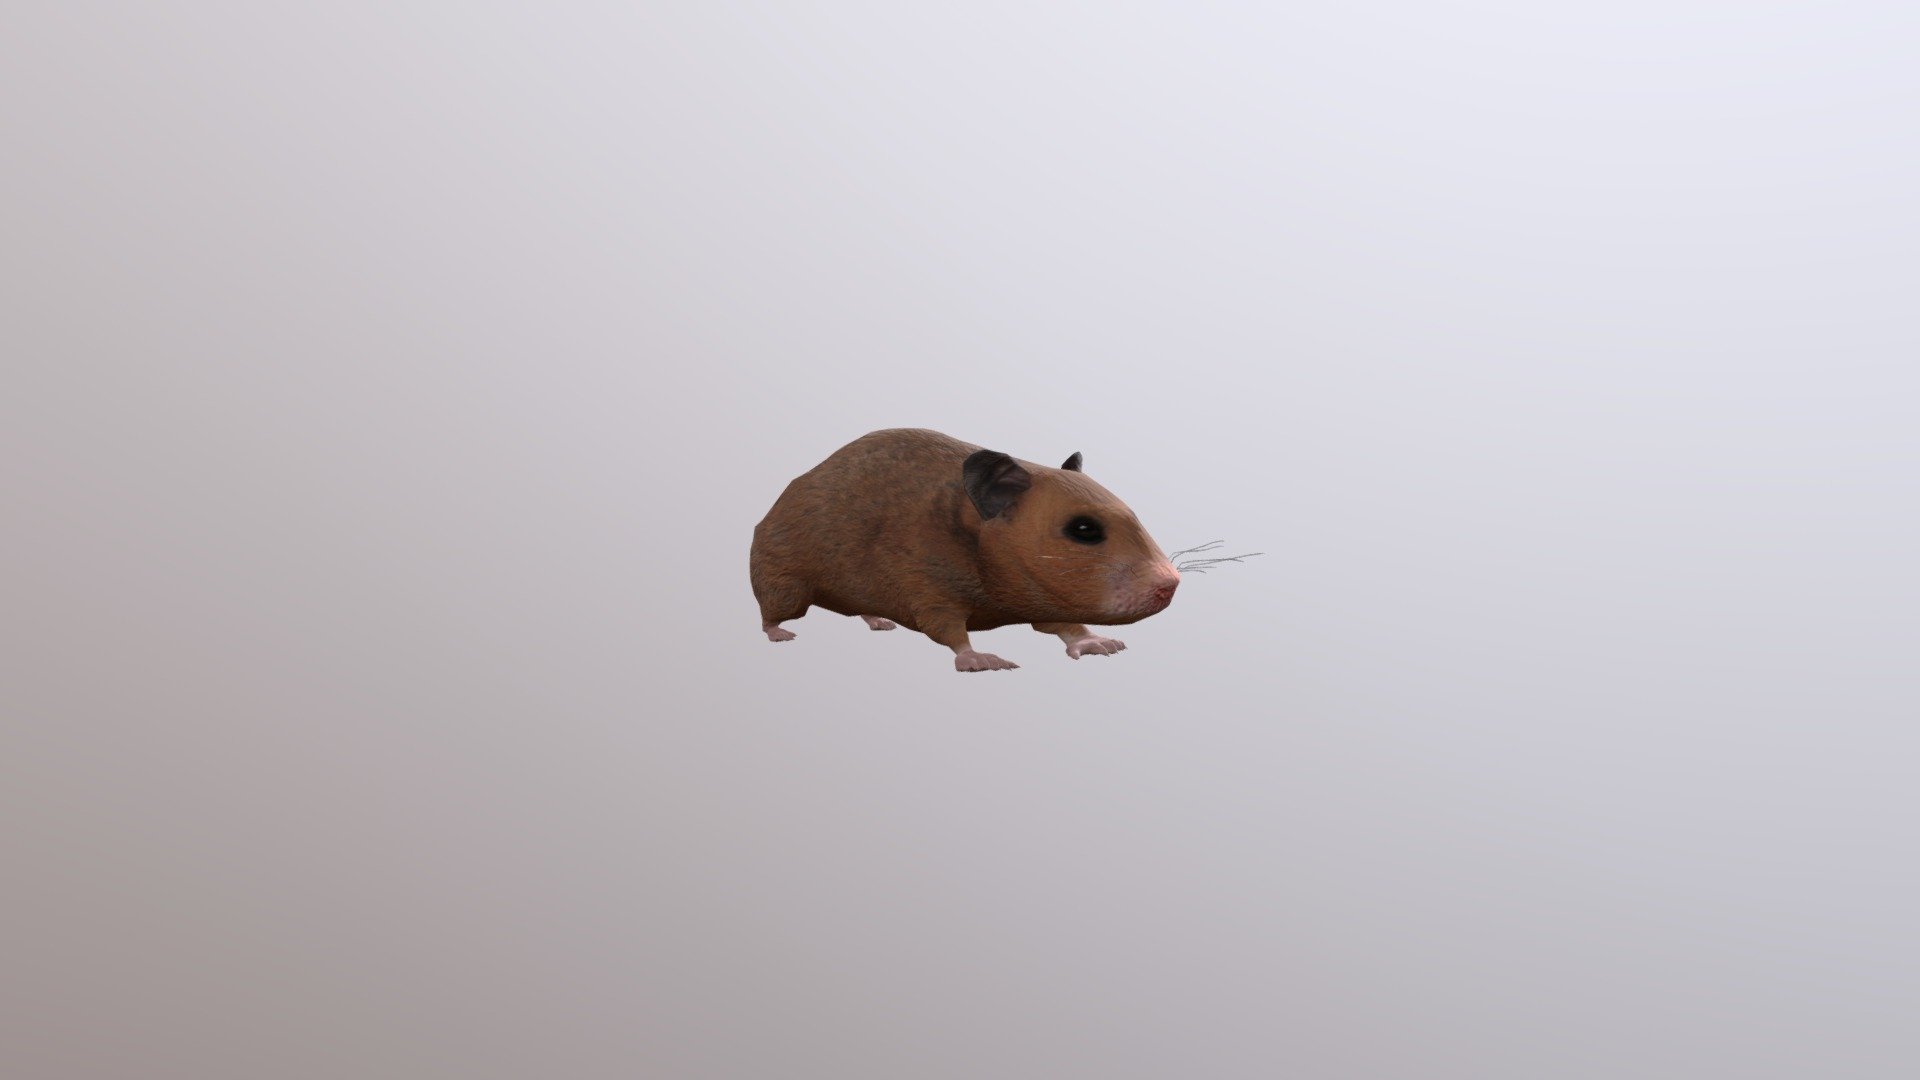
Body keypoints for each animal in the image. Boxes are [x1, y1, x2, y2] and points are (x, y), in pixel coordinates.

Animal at [750, 428, 1180, 672]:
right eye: (1084, 529)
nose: (1170, 585)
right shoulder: (926, 585)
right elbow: (949, 629)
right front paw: (982, 659)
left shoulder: (1042, 599)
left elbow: (1063, 625)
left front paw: (1096, 642)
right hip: (783, 580)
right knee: (771, 612)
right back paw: (779, 633)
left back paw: (878, 620)